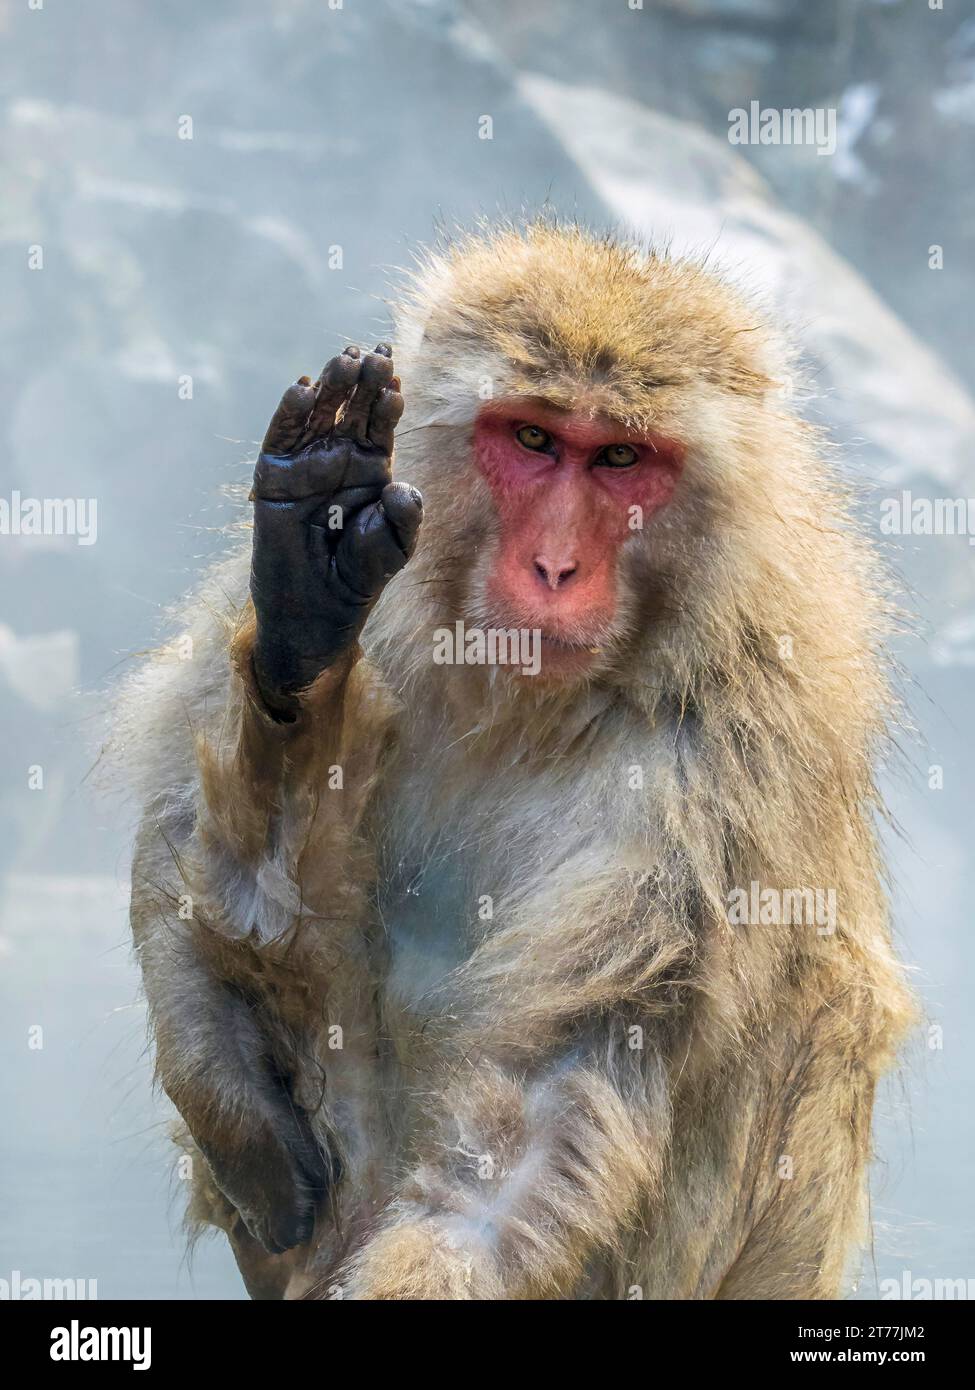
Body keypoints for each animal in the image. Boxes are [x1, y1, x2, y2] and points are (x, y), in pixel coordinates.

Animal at [117, 222, 915, 1300]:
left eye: (620, 457)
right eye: (534, 440)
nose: (554, 569)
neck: (529, 707)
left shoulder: (723, 760)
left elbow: (551, 1102)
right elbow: (173, 821)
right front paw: (307, 586)